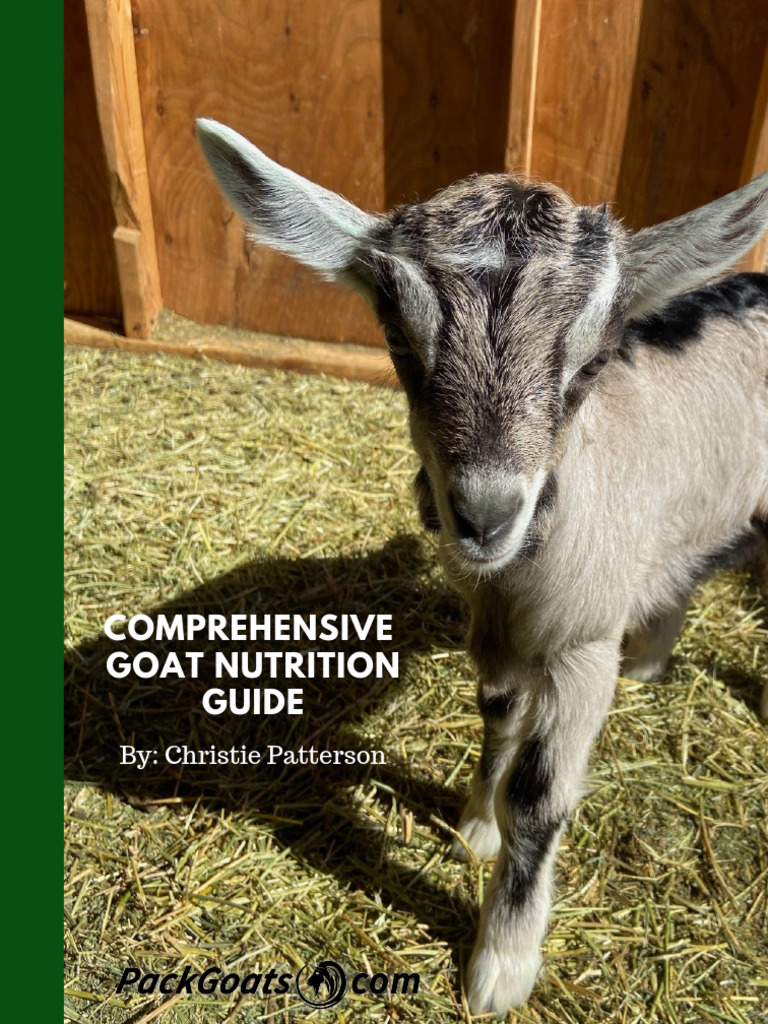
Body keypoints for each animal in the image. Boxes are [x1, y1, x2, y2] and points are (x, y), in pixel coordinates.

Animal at [196, 118, 768, 1016]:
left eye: (590, 362)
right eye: (398, 341)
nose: (486, 515)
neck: (522, 575)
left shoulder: (580, 644)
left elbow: (541, 797)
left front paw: (500, 966)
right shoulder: (492, 623)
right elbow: (497, 712)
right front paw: (474, 826)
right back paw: (650, 665)